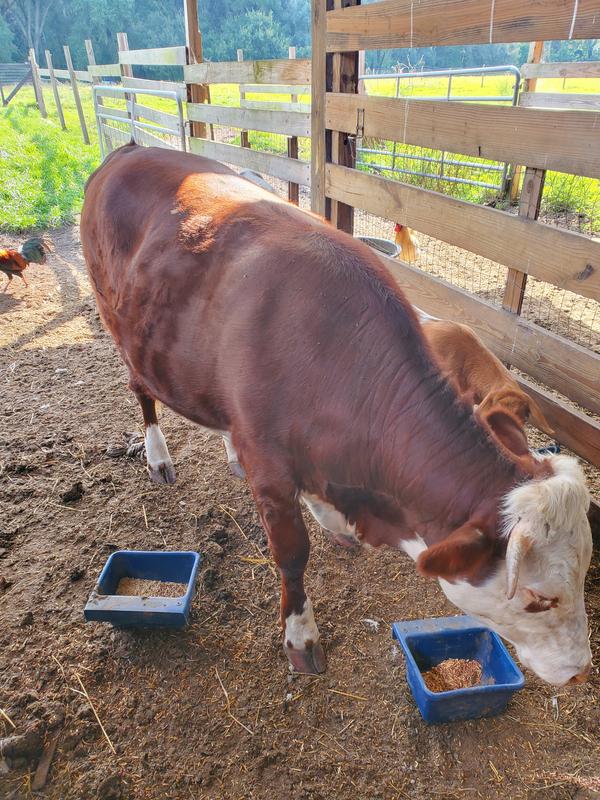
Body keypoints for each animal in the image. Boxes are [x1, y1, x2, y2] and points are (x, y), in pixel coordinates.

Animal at [80, 144, 593, 686]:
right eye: (539, 599)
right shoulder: (271, 467)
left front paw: (330, 519)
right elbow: (291, 555)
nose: (581, 671)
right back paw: (157, 456)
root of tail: (131, 150)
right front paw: (300, 635)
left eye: (584, 572)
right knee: (141, 391)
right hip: (120, 325)